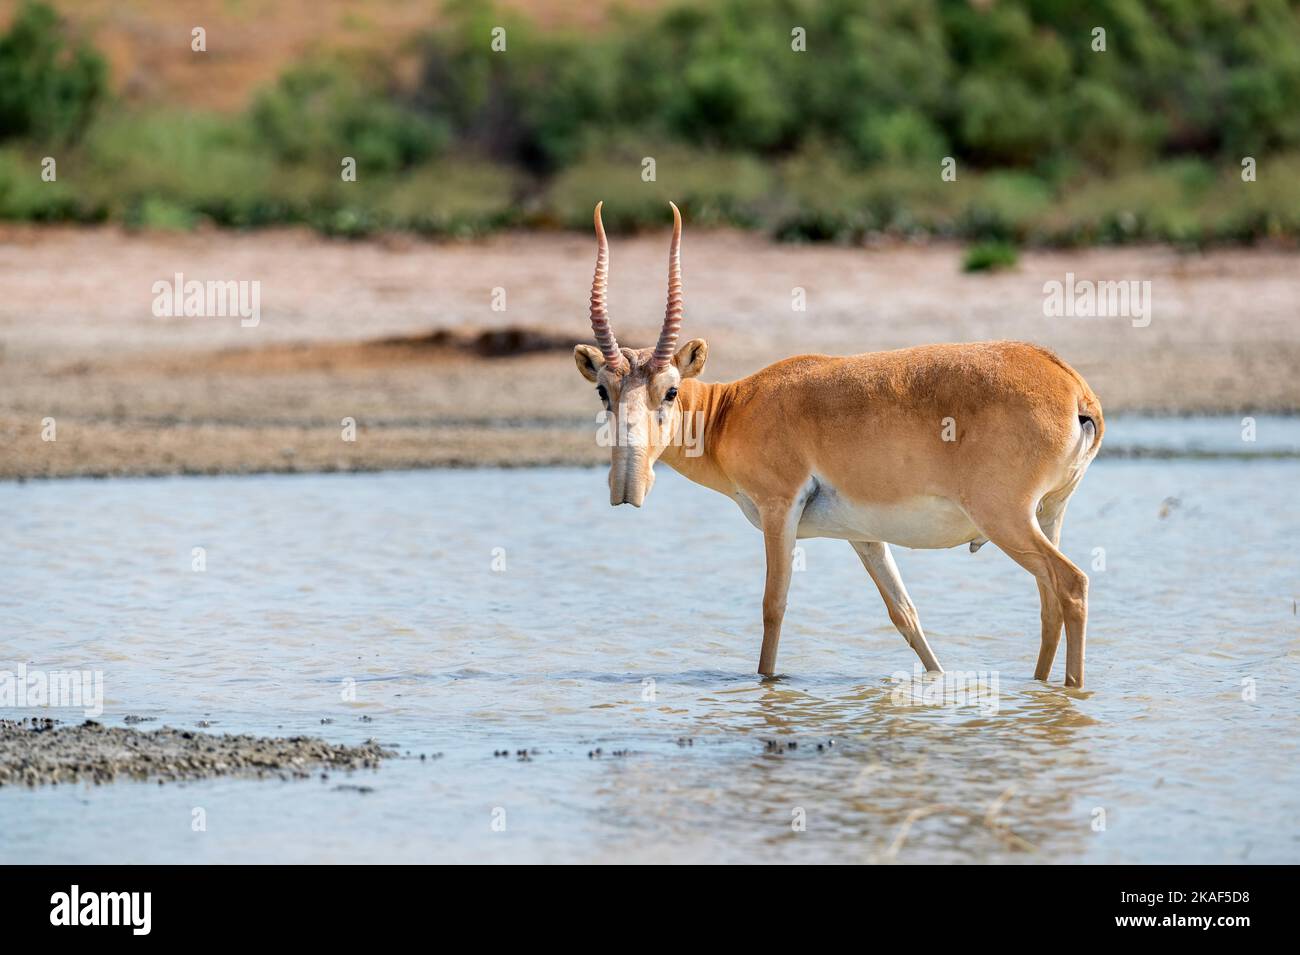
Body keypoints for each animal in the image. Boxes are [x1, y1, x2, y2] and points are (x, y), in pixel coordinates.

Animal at [574, 202, 1104, 688]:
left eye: (670, 390)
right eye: (603, 390)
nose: (627, 488)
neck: (733, 407)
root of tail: (1072, 386)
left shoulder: (779, 510)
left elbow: (774, 605)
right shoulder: (864, 536)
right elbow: (905, 615)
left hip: (1006, 518)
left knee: (1071, 584)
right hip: (1046, 515)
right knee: (1049, 601)